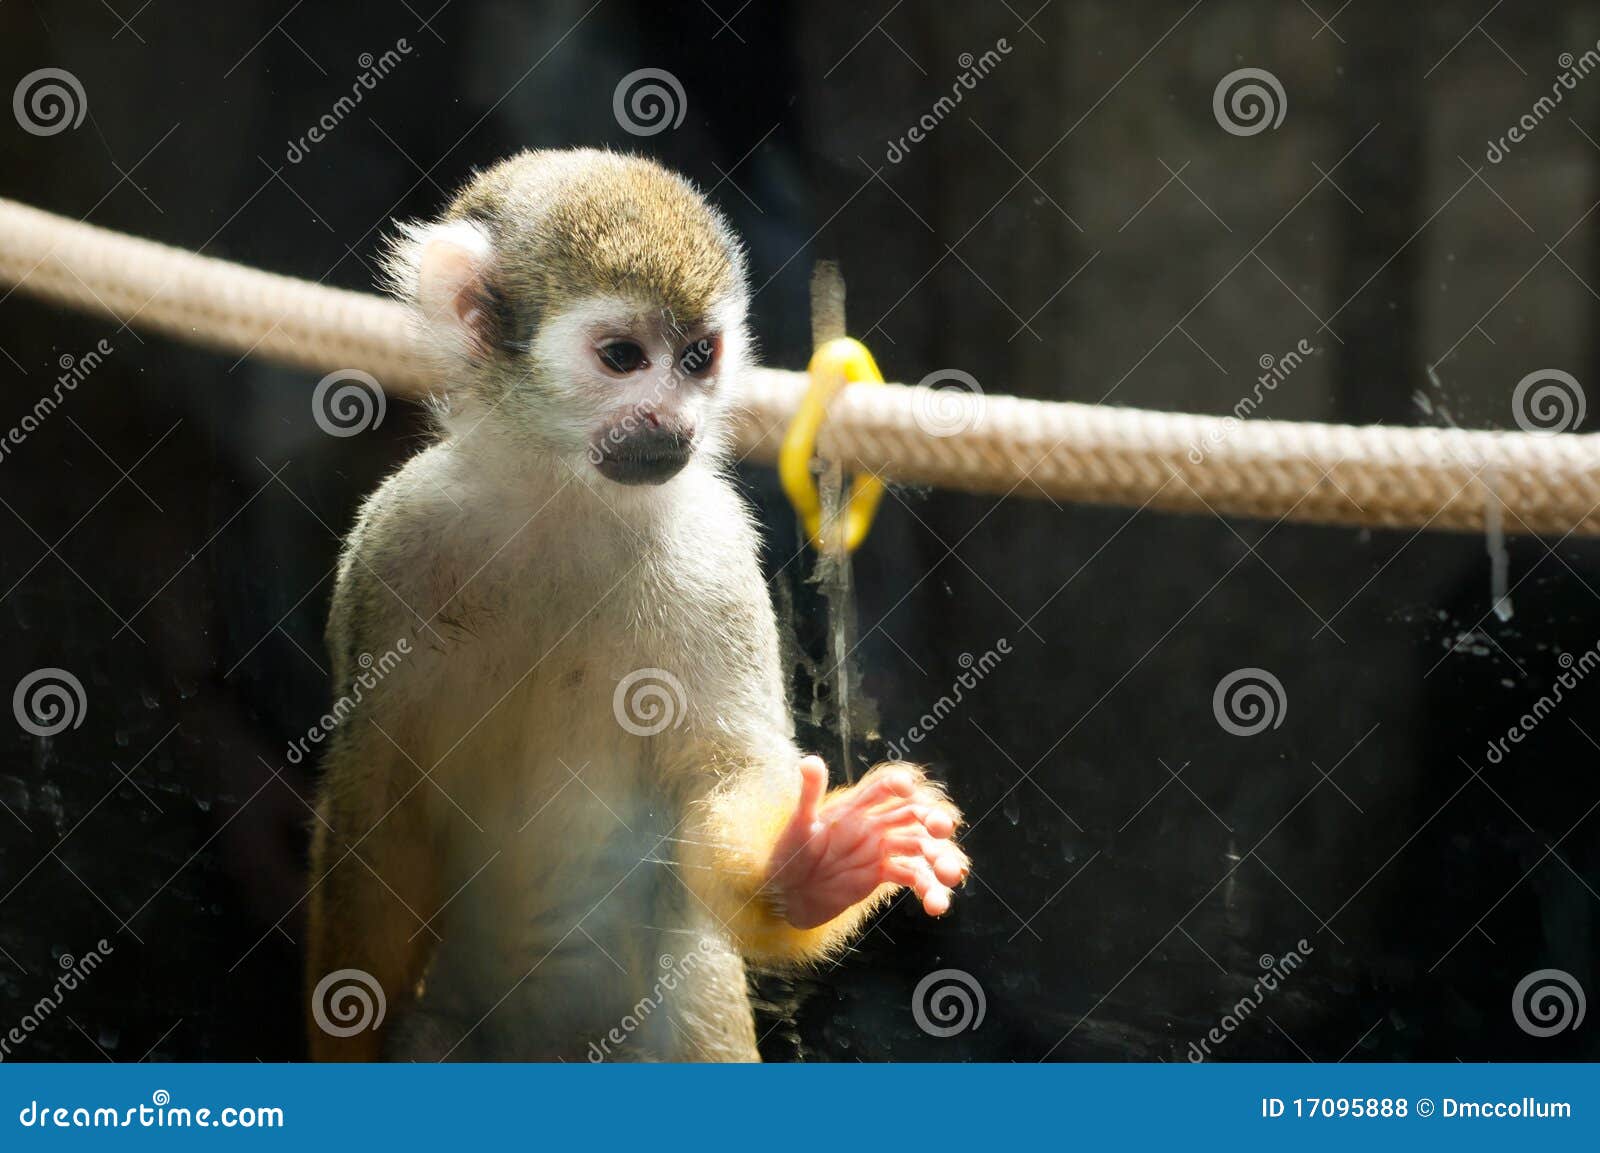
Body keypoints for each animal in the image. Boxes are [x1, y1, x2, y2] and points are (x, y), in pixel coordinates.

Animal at [305, 149, 969, 1061]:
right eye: (623, 356)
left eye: (697, 357)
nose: (671, 421)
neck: (564, 497)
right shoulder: (395, 541)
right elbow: (376, 806)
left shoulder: (717, 552)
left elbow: (724, 778)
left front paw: (811, 866)